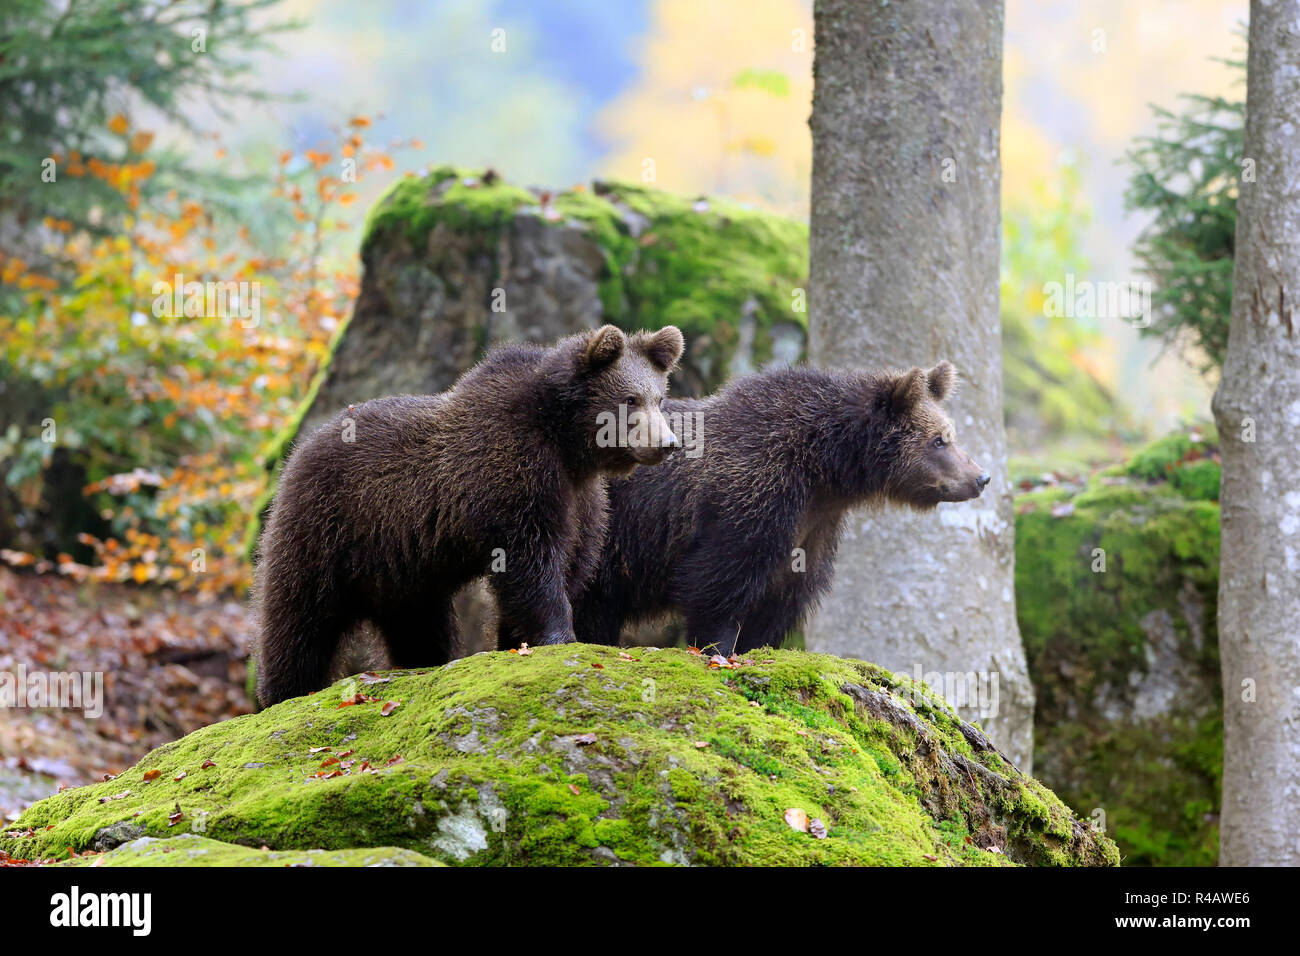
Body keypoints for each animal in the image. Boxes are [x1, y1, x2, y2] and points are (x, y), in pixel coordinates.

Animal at [254, 323, 685, 706]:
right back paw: (284, 690)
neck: (565, 441)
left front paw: (515, 641)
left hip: (401, 567)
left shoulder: (582, 500)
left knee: (417, 624)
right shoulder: (512, 477)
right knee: (299, 617)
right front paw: (559, 635)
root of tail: (299, 449)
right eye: (630, 399)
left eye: (660, 398)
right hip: (327, 526)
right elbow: (532, 564)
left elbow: (573, 561)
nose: (668, 443)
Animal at [571, 361, 989, 656]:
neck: (823, 470)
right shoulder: (751, 501)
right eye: (939, 440)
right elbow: (717, 587)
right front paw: (716, 647)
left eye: (950, 434)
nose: (981, 477)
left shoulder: (813, 529)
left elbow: (779, 602)